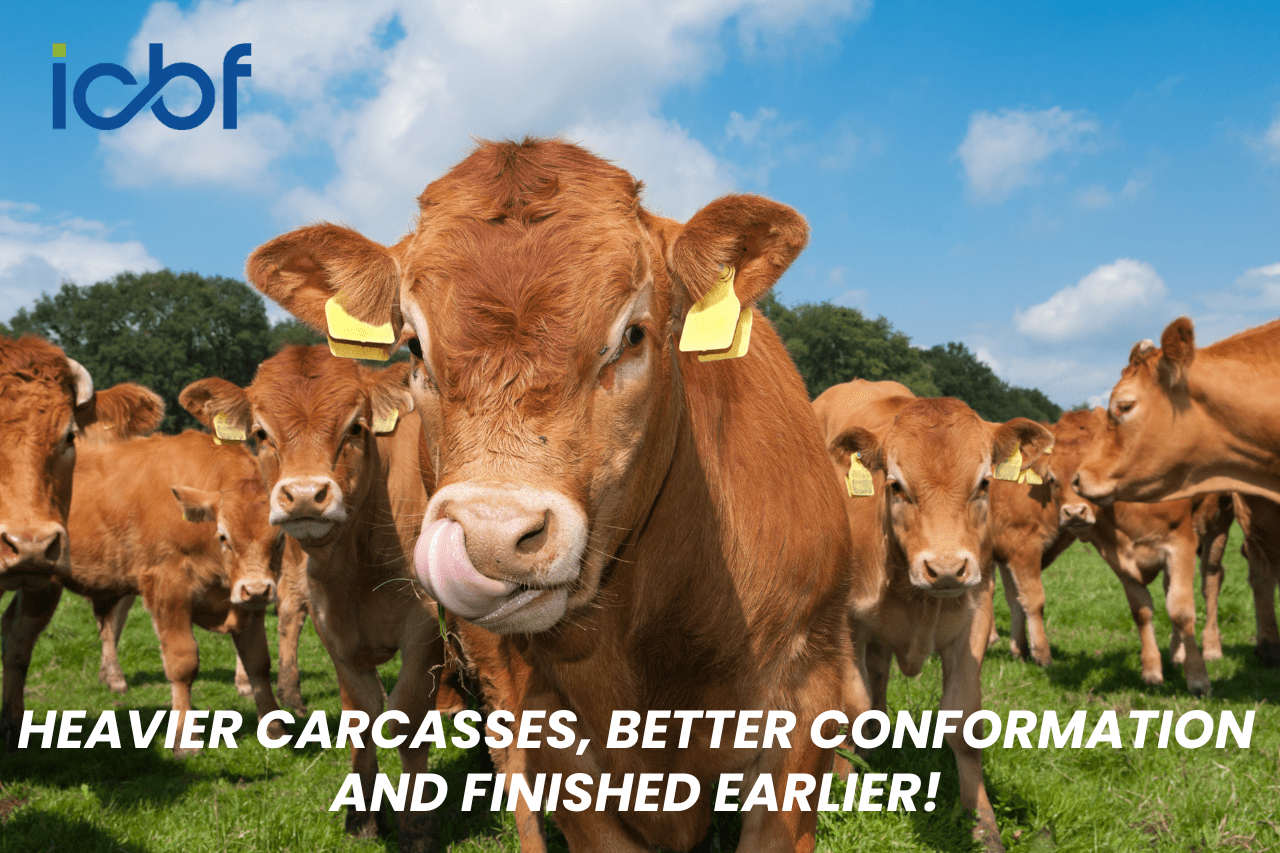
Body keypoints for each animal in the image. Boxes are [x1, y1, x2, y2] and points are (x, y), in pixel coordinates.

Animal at [3, 430, 286, 756]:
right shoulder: (168, 588)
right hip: (42, 585)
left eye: (279, 539)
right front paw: (186, 739)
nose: (257, 589)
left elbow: (258, 663)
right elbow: (182, 663)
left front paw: (274, 728)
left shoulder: (247, 605)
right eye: (224, 536)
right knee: (18, 644)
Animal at [180, 349, 442, 852]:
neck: (357, 564)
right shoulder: (331, 625)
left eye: (356, 427)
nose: (304, 495)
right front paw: (362, 818)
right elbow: (361, 717)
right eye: (261, 434)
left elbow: (407, 717)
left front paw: (418, 827)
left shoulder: (426, 625)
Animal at [815, 379, 1052, 852]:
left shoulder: (975, 617)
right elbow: (852, 705)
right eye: (895, 485)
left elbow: (964, 719)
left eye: (983, 483)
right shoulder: (847, 622)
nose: (944, 568)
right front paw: (841, 786)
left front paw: (982, 823)